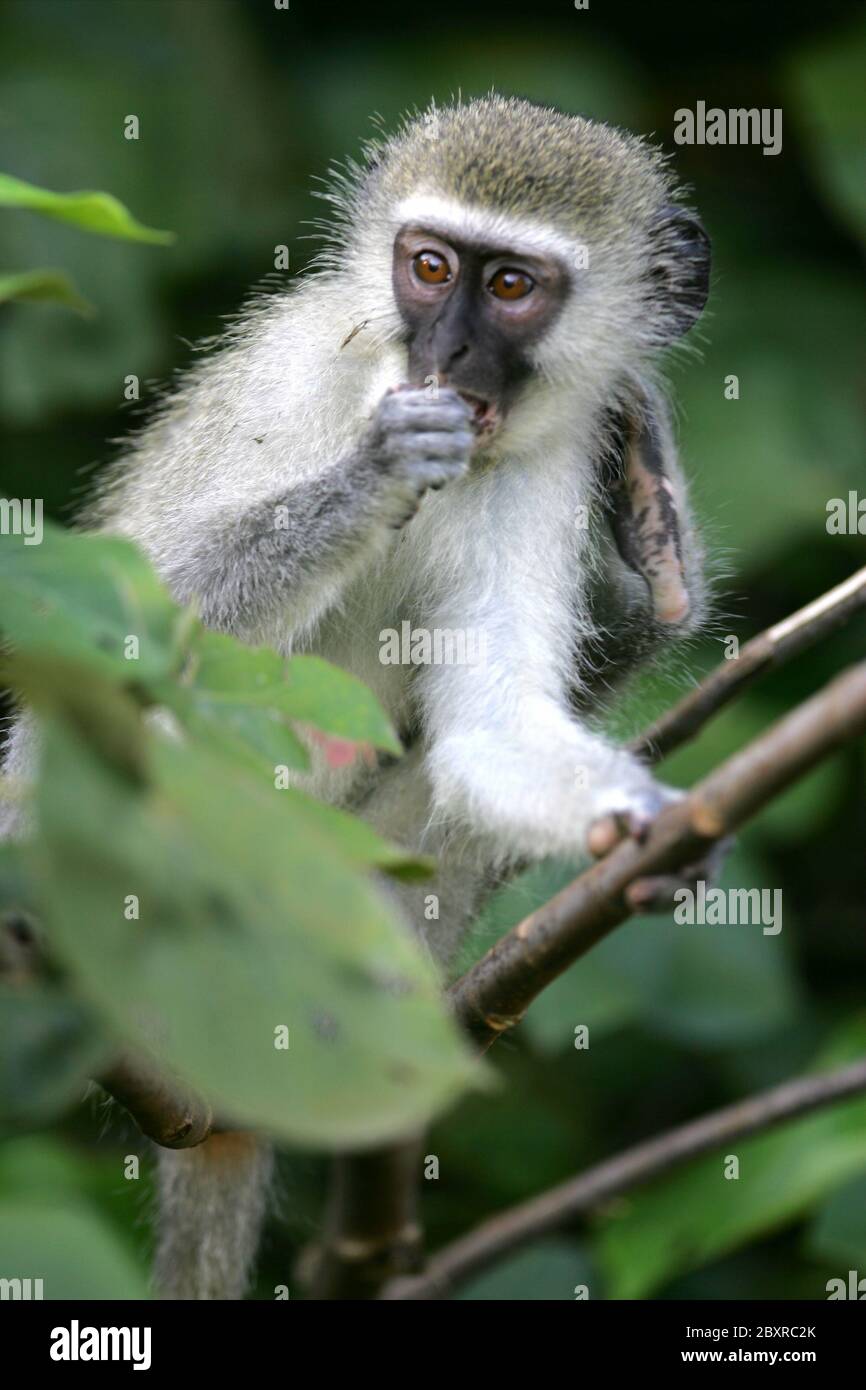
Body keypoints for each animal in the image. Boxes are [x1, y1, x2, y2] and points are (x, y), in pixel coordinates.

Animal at [0, 95, 717, 1298]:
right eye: (428, 267)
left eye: (509, 286)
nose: (444, 352)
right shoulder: (296, 373)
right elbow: (112, 625)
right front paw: (369, 481)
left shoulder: (551, 459)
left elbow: (491, 731)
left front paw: (643, 796)